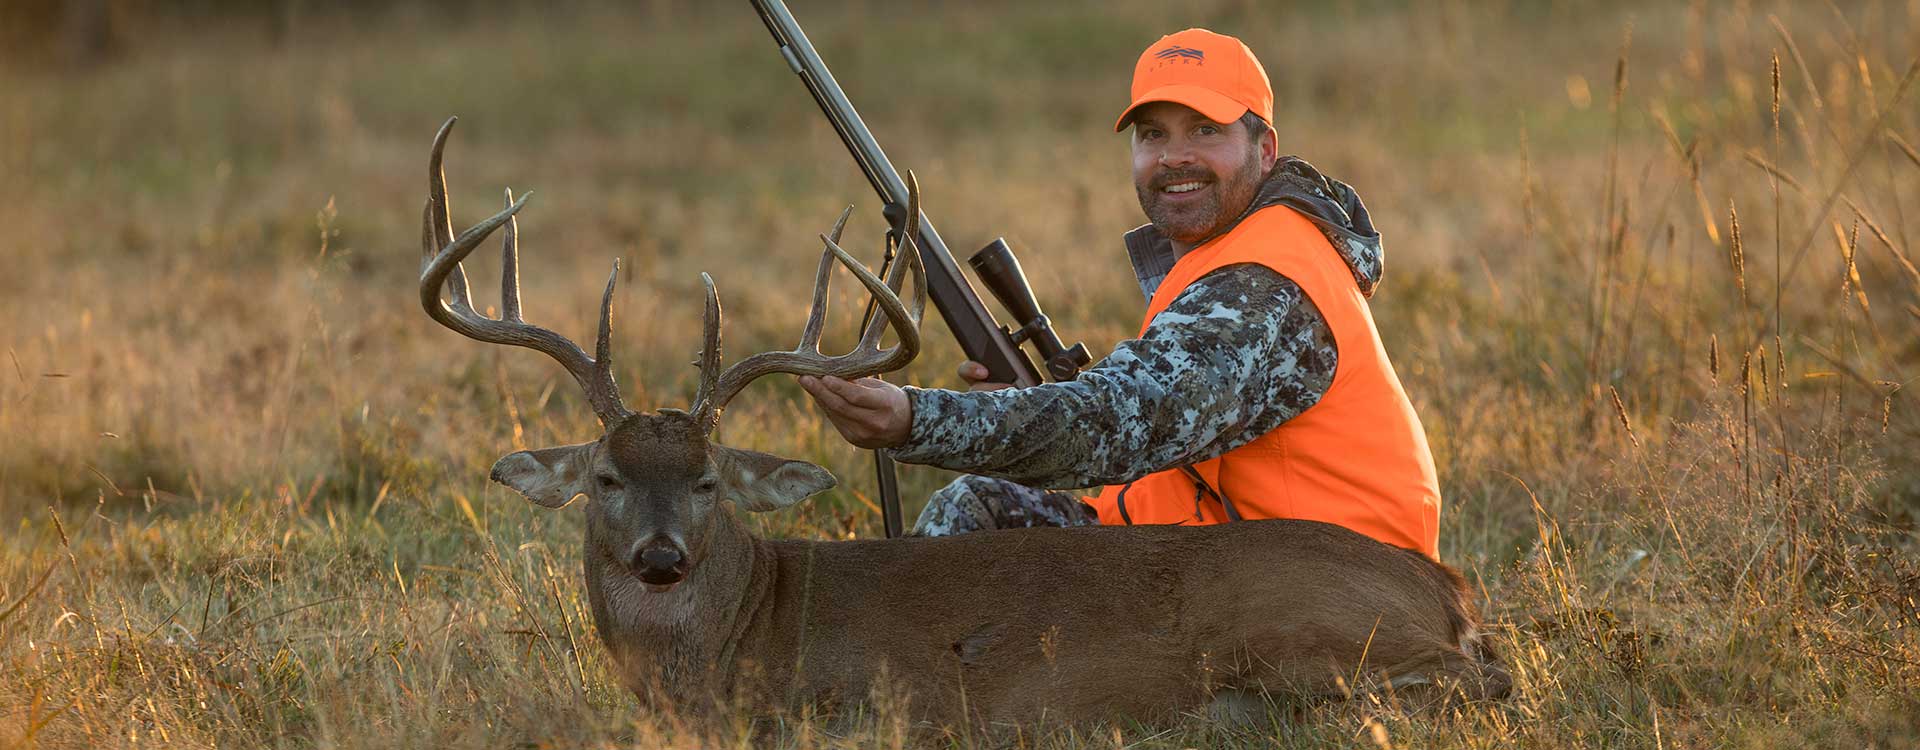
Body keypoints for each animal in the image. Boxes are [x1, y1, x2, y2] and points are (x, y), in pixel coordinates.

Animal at [417, 117, 1510, 726]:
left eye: (708, 479)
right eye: (606, 477)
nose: (658, 557)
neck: (736, 643)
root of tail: (1445, 584)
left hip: (1304, 631)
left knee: (1471, 683)